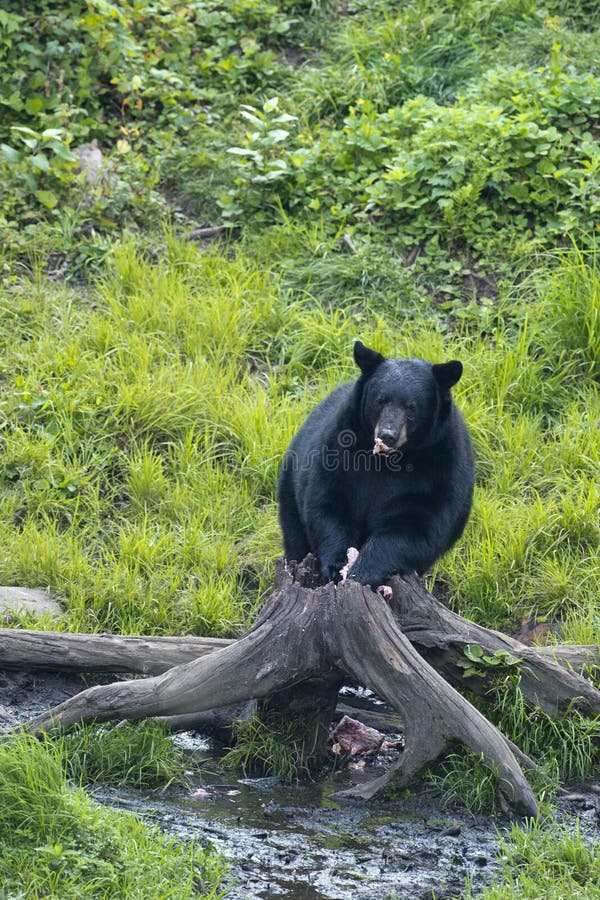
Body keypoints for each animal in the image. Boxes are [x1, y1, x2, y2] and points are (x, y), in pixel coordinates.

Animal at [277, 340, 474, 588]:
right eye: (380, 400)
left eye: (411, 406)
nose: (388, 435)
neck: (389, 460)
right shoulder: (338, 448)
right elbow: (328, 502)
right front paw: (337, 564)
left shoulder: (441, 468)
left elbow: (417, 525)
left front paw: (362, 571)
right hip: (289, 488)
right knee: (295, 536)